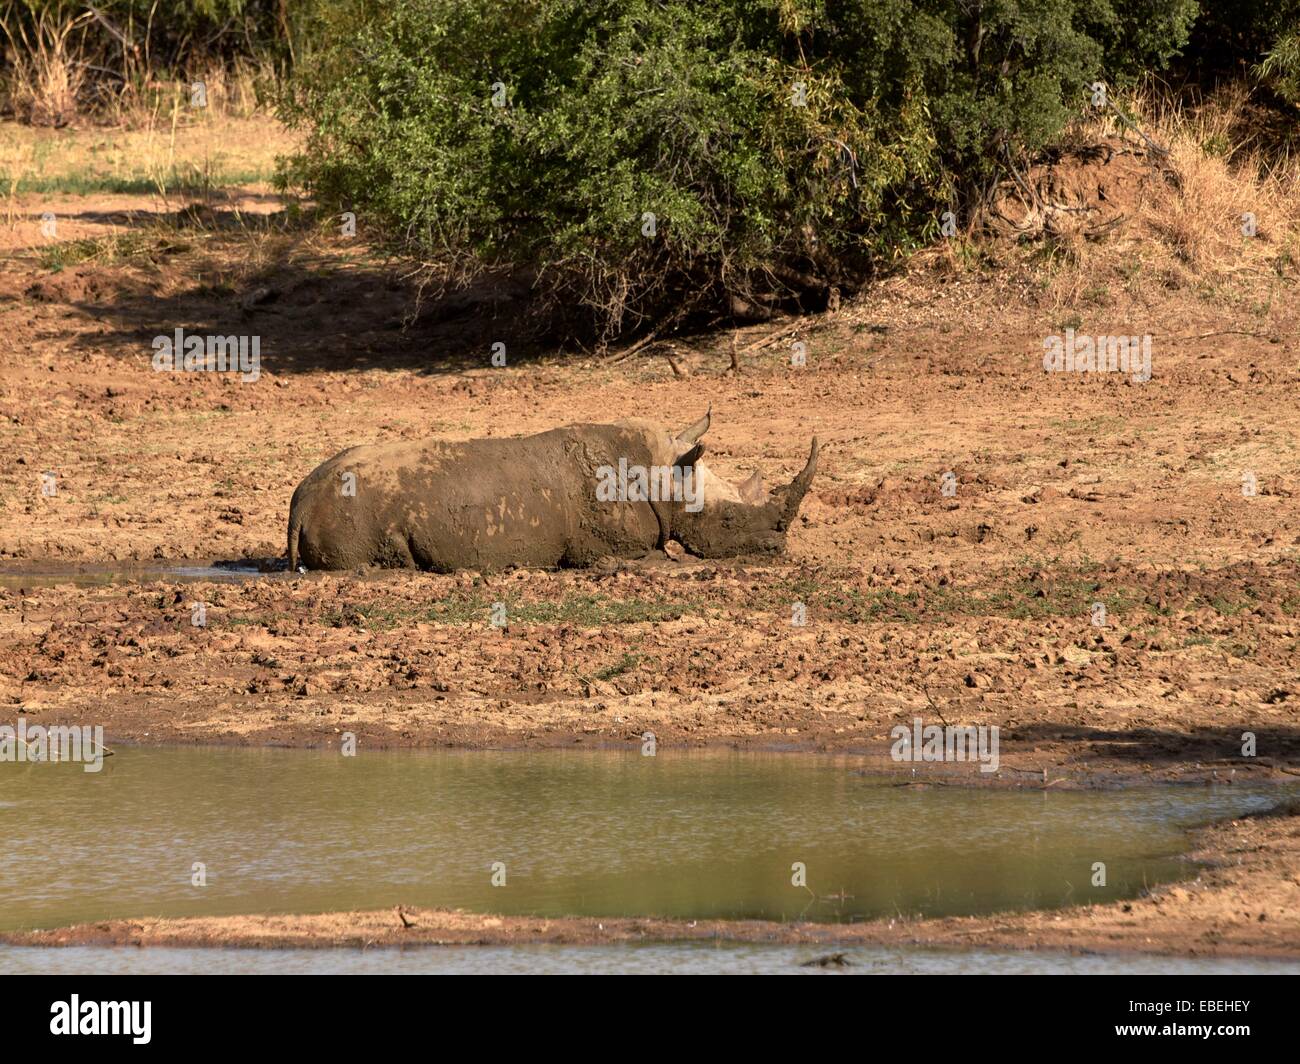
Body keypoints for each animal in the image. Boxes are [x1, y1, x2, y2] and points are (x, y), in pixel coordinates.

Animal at [286, 410, 818, 572]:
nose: (779, 548)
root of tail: (300, 501)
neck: (665, 471)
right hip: (353, 510)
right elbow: (660, 558)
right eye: (727, 521)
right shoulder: (606, 547)